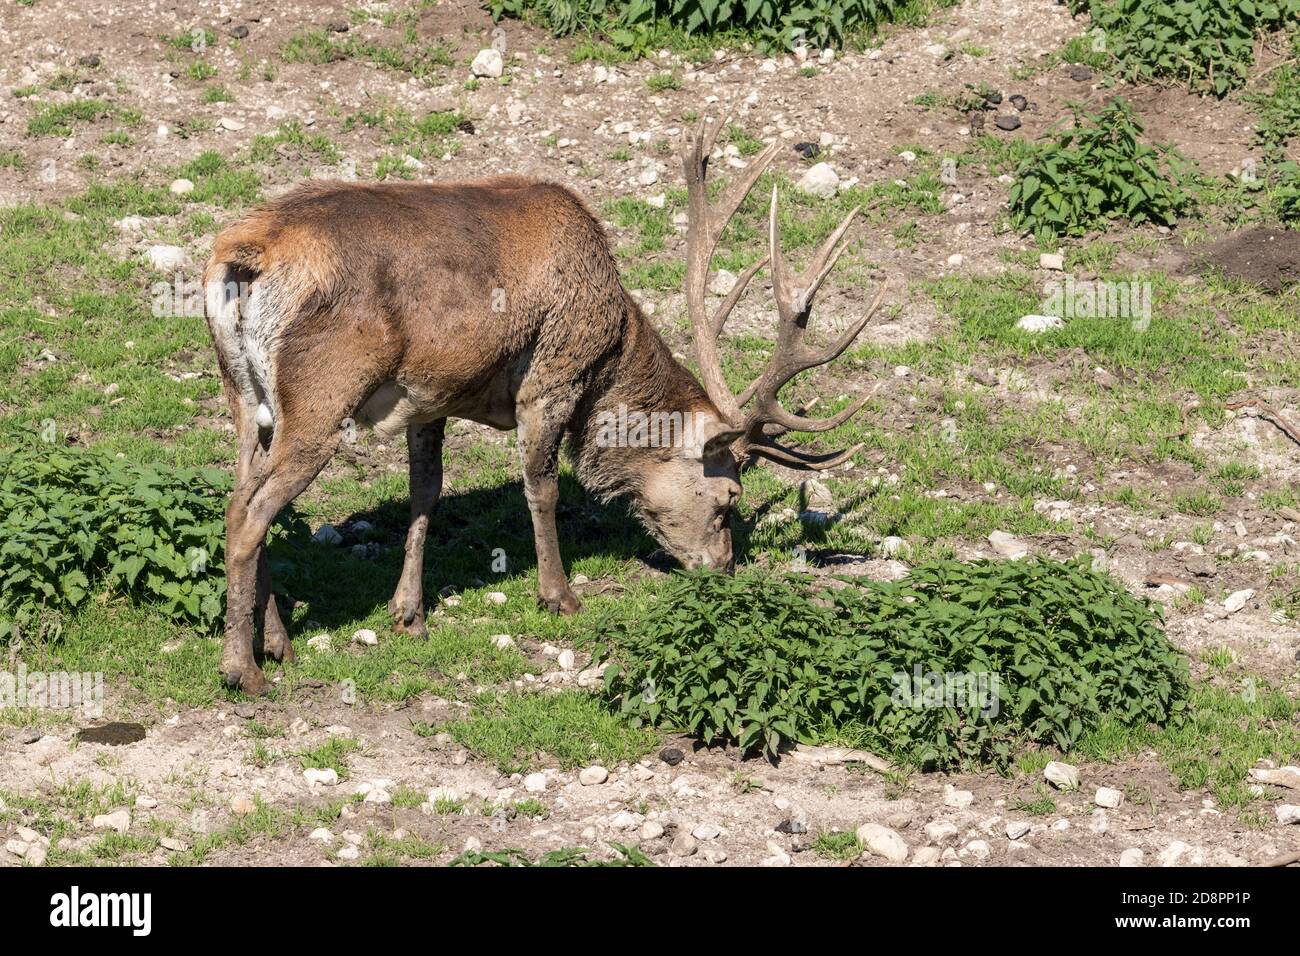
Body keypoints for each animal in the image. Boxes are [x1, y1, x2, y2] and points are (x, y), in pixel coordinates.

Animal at [202, 117, 887, 693]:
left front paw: (409, 612)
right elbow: (543, 485)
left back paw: (278, 644)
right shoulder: (552, 377)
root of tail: (238, 258)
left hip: (245, 397)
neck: (610, 345)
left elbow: (426, 493)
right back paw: (243, 670)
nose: (722, 571)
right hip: (322, 395)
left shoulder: (430, 397)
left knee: (242, 492)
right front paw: (559, 595)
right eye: (728, 498)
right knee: (248, 513)